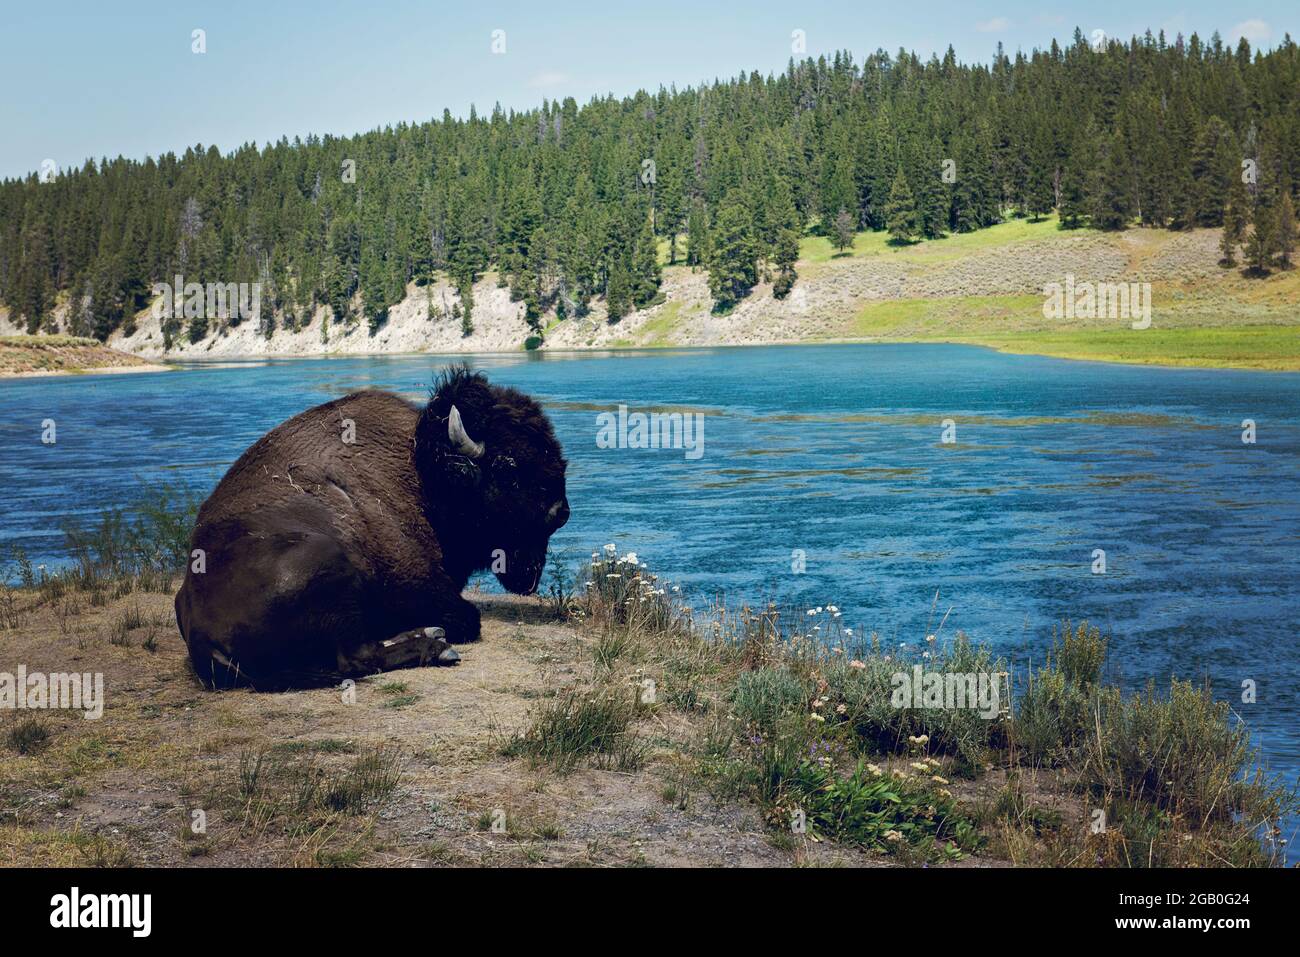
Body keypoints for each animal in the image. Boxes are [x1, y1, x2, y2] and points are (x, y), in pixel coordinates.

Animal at [174, 366, 569, 690]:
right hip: (328, 562)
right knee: (357, 658)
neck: (423, 472)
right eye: (508, 470)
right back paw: (436, 645)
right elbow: (468, 617)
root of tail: (201, 637)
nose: (560, 513)